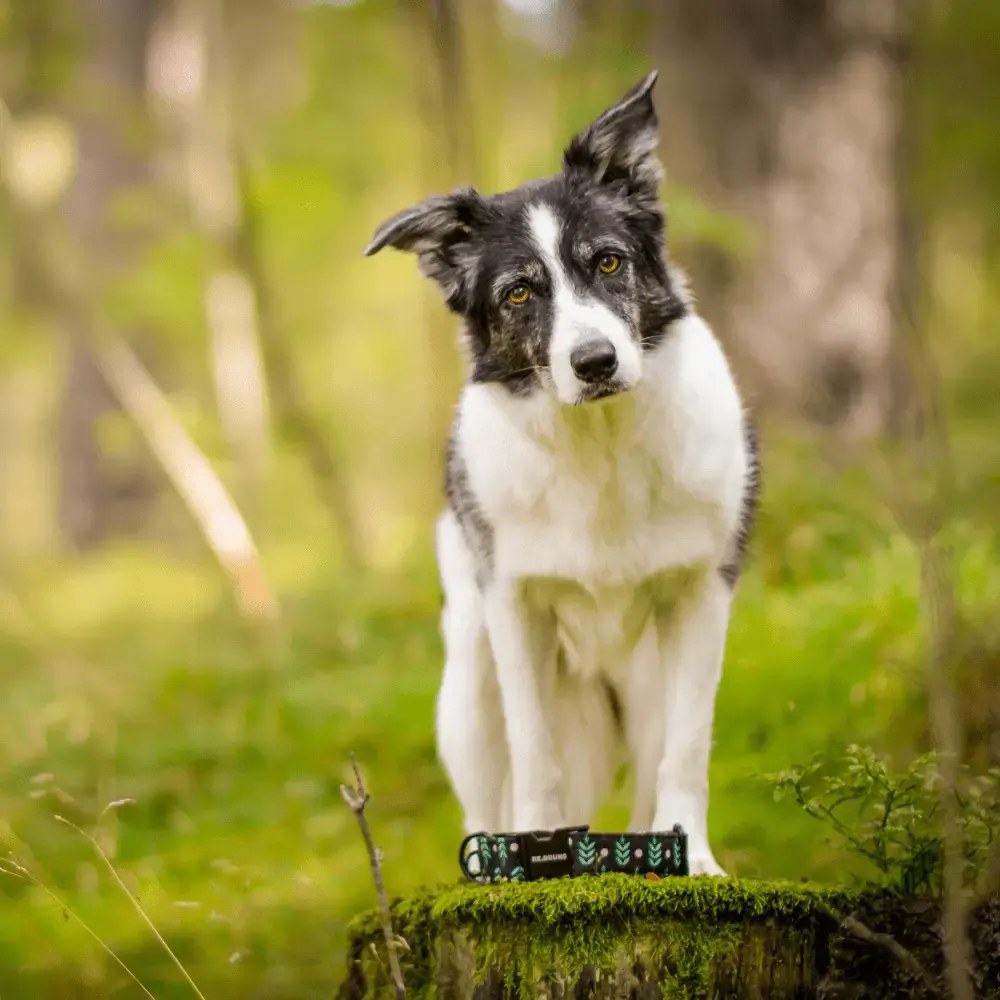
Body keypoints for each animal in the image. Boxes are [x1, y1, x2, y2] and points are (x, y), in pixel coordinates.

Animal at [368, 72, 756, 876]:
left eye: (607, 262)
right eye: (519, 293)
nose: (595, 363)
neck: (598, 447)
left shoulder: (703, 597)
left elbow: (687, 751)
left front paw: (691, 858)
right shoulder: (514, 609)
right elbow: (534, 753)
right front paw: (526, 859)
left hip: (644, 680)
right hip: (467, 679)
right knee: (485, 790)